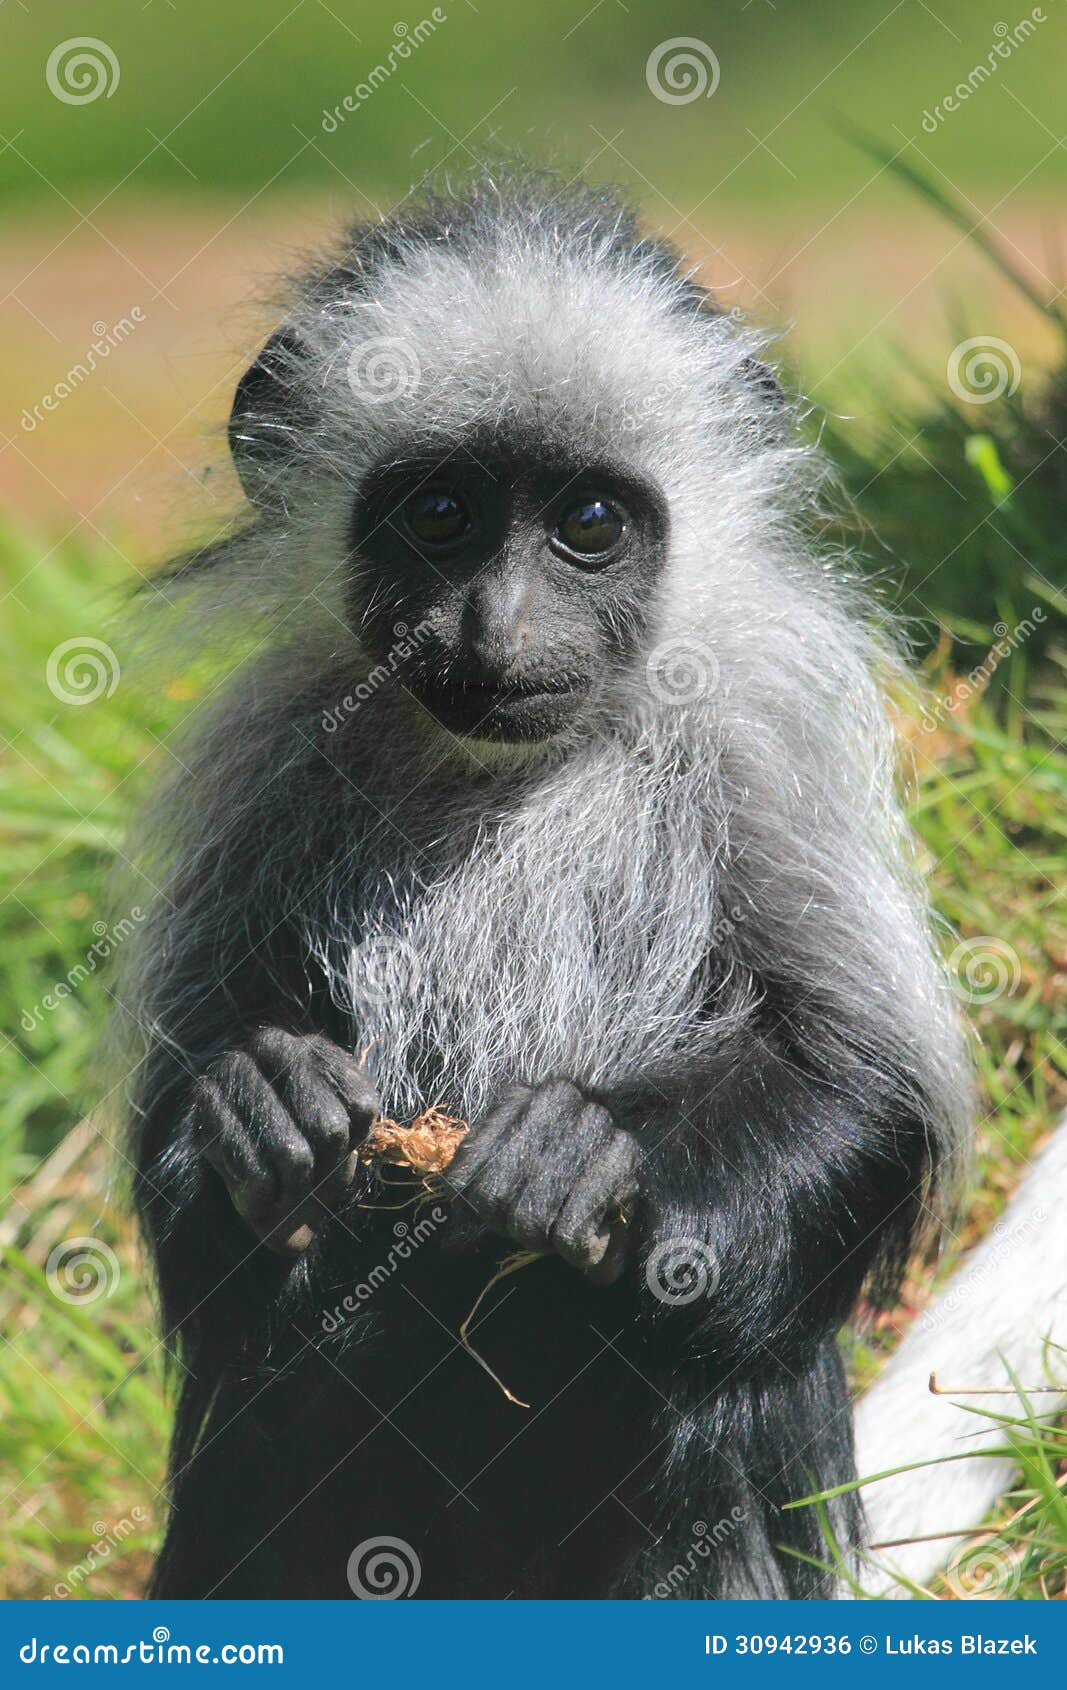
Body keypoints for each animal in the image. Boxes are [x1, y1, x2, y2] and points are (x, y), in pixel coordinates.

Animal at [115, 169, 972, 1599]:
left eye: (587, 526)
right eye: (440, 516)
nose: (498, 633)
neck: (505, 774)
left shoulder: (769, 737)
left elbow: (859, 1090)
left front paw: (588, 1155)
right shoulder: (268, 761)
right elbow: (206, 1216)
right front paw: (259, 1101)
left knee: (688, 1380)